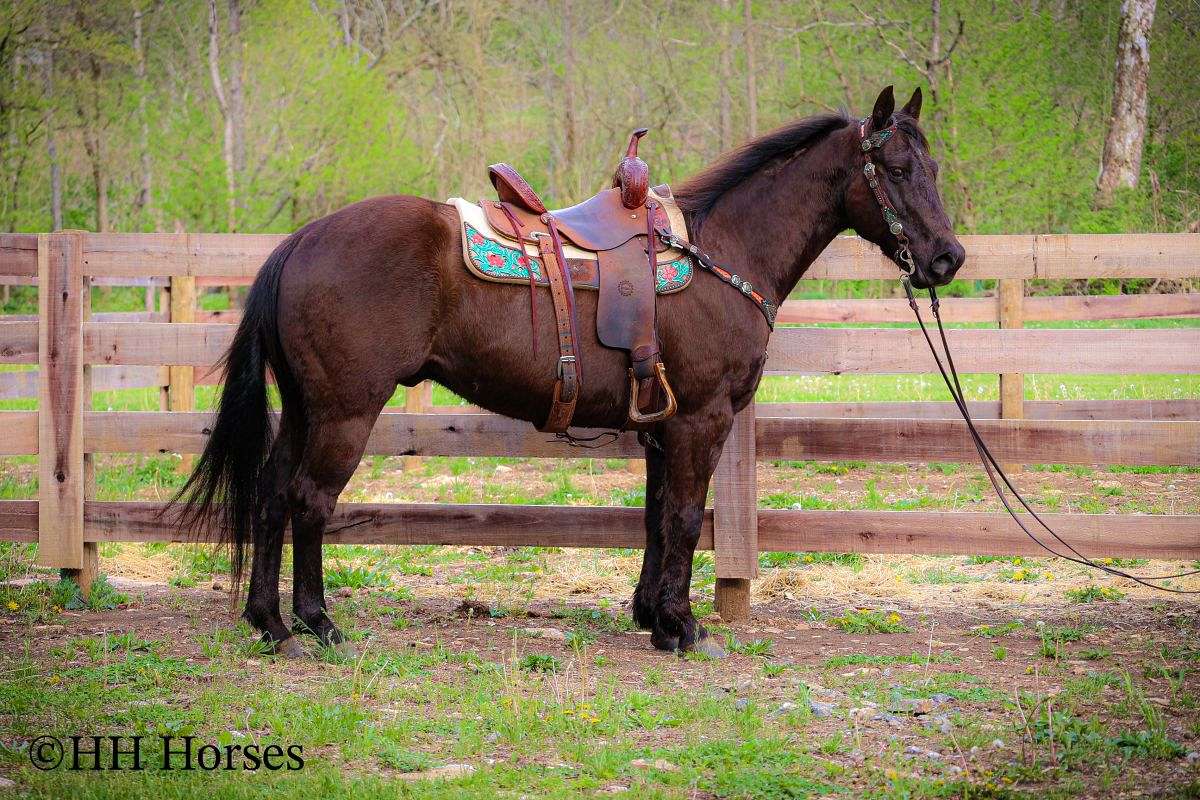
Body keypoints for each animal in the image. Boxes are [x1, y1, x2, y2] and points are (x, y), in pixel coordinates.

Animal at [172, 86, 966, 658]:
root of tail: (300, 241)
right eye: (897, 170)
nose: (947, 259)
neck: (722, 250)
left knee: (271, 494)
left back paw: (270, 623)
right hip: (344, 412)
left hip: (306, 408)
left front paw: (652, 616)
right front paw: (683, 627)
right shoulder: (702, 417)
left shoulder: (662, 423)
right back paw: (317, 623)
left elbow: (655, 515)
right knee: (309, 500)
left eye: (934, 168)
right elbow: (685, 516)